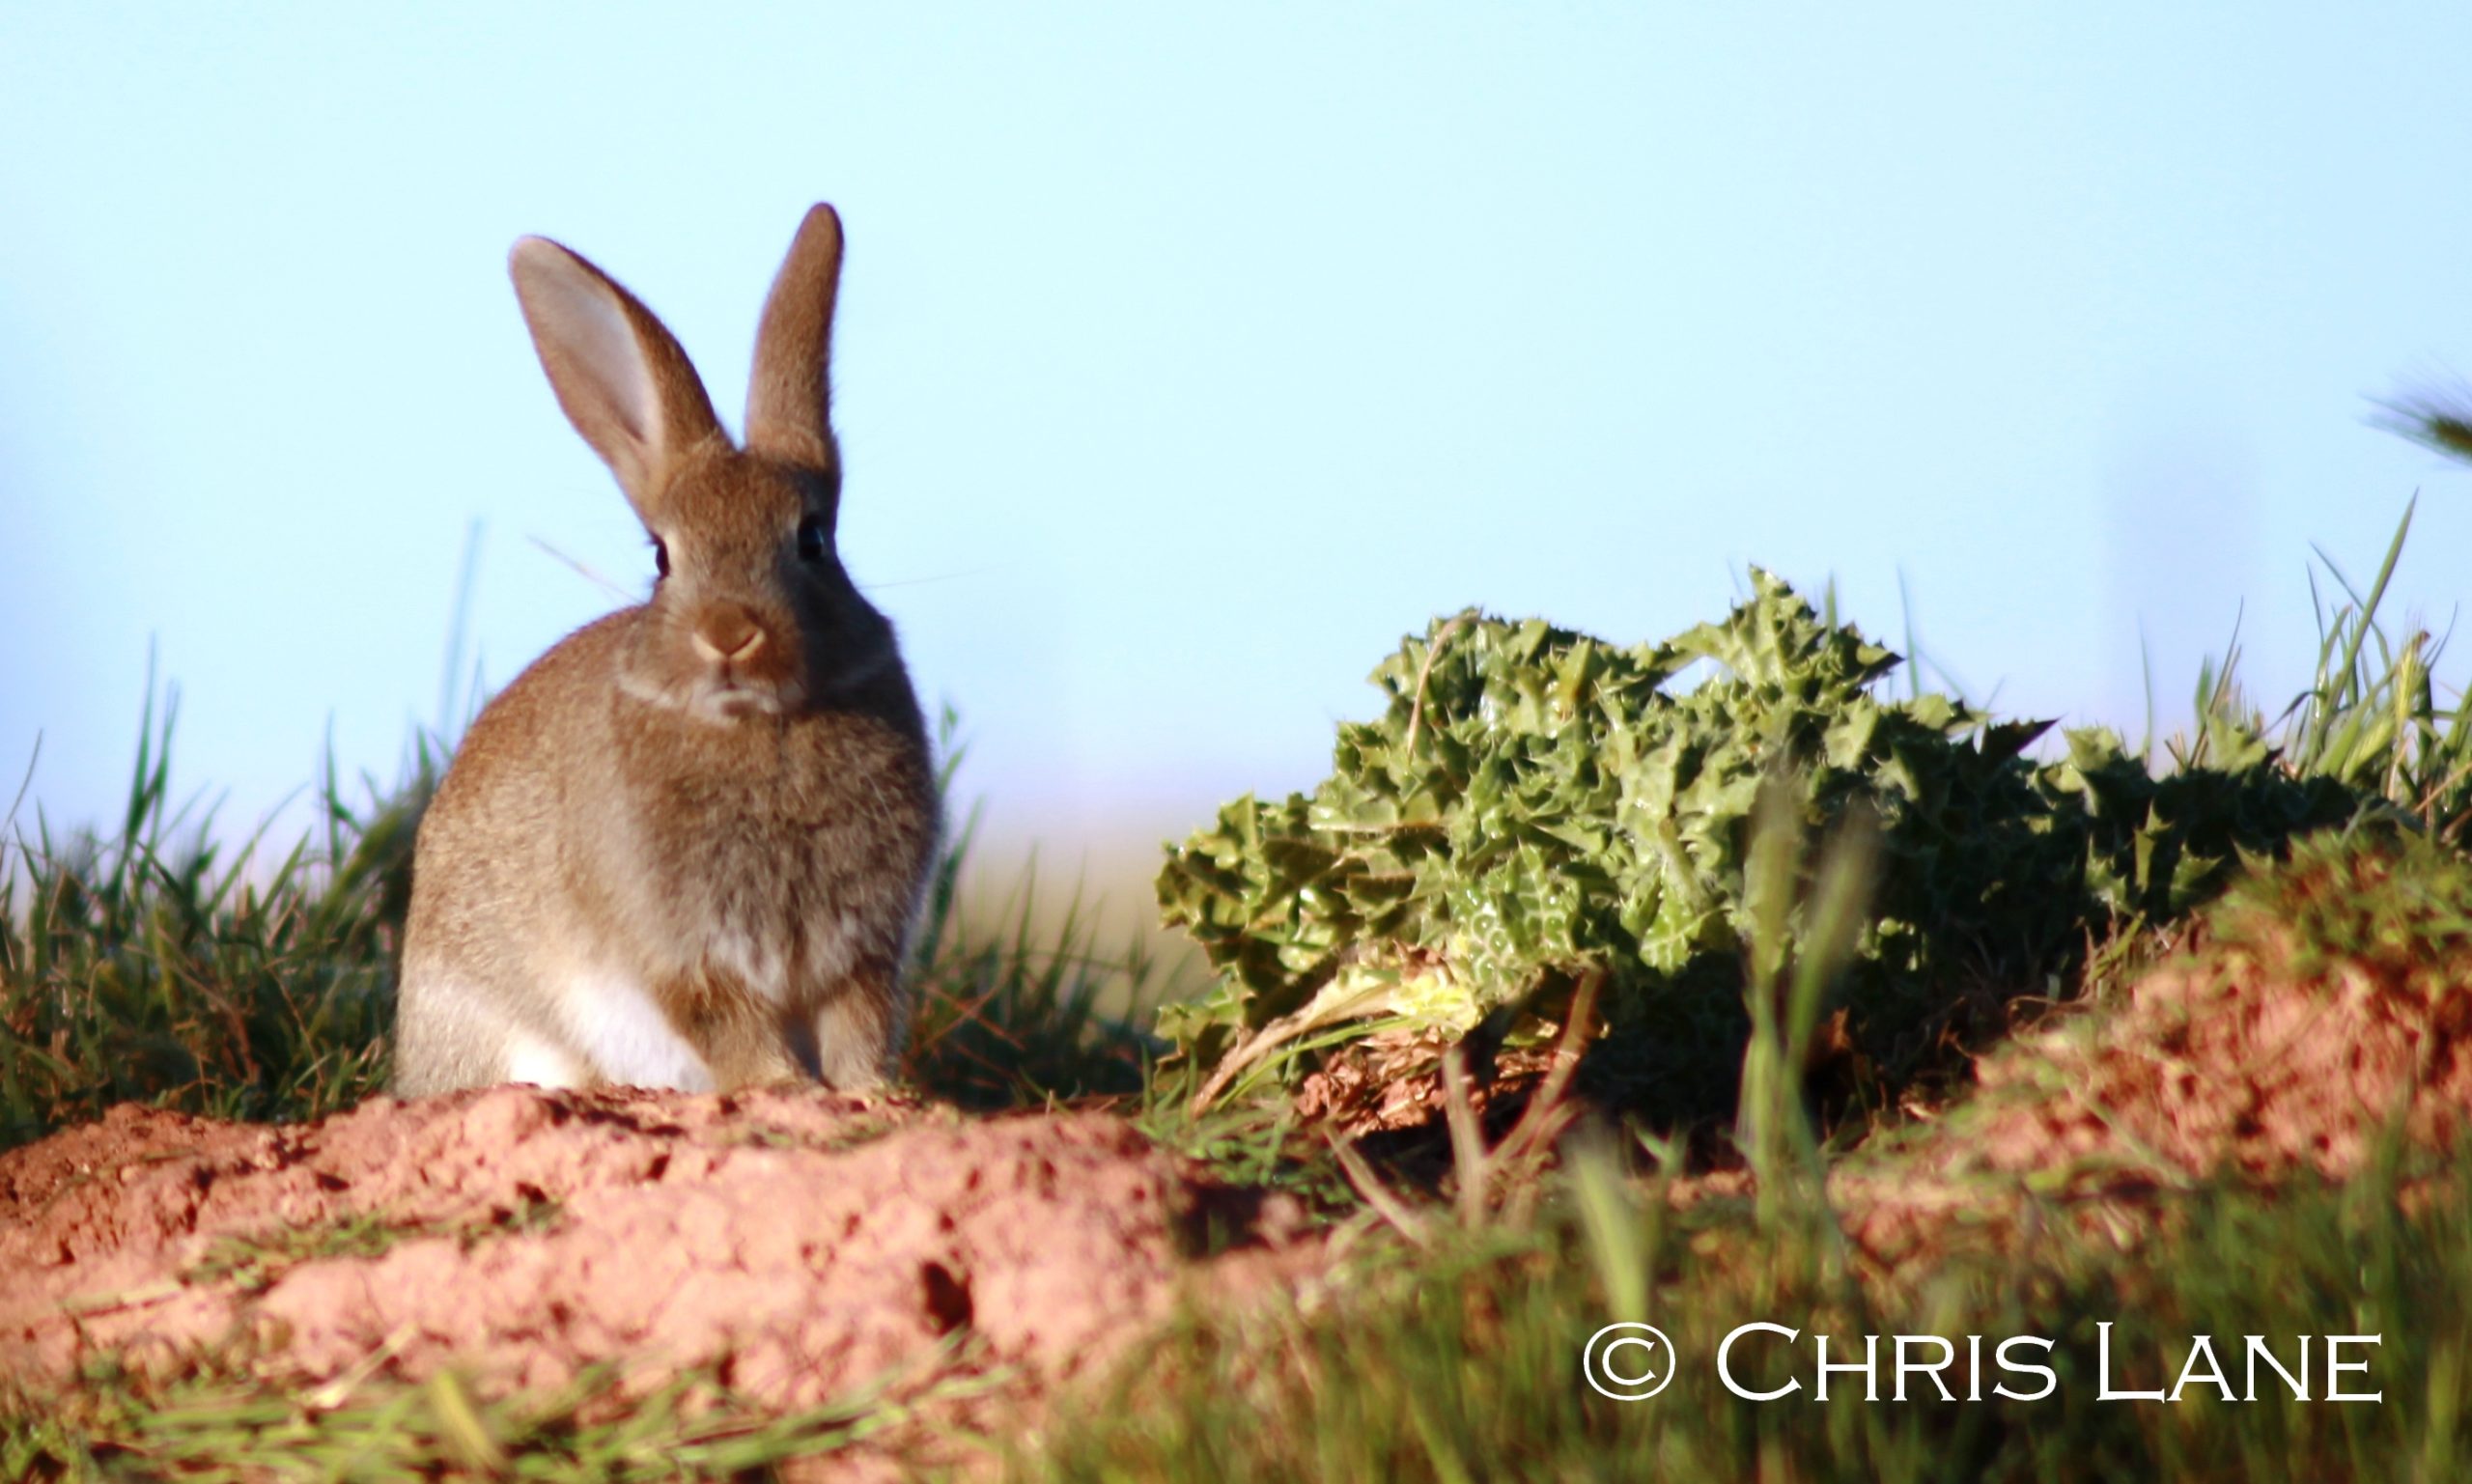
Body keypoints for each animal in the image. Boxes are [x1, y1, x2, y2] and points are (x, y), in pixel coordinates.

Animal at [390, 204, 940, 1098]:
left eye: (812, 539)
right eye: (662, 556)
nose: (730, 632)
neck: (757, 725)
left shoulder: (860, 951)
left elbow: (853, 1026)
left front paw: (874, 1095)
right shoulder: (686, 954)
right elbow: (734, 1025)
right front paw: (786, 1089)